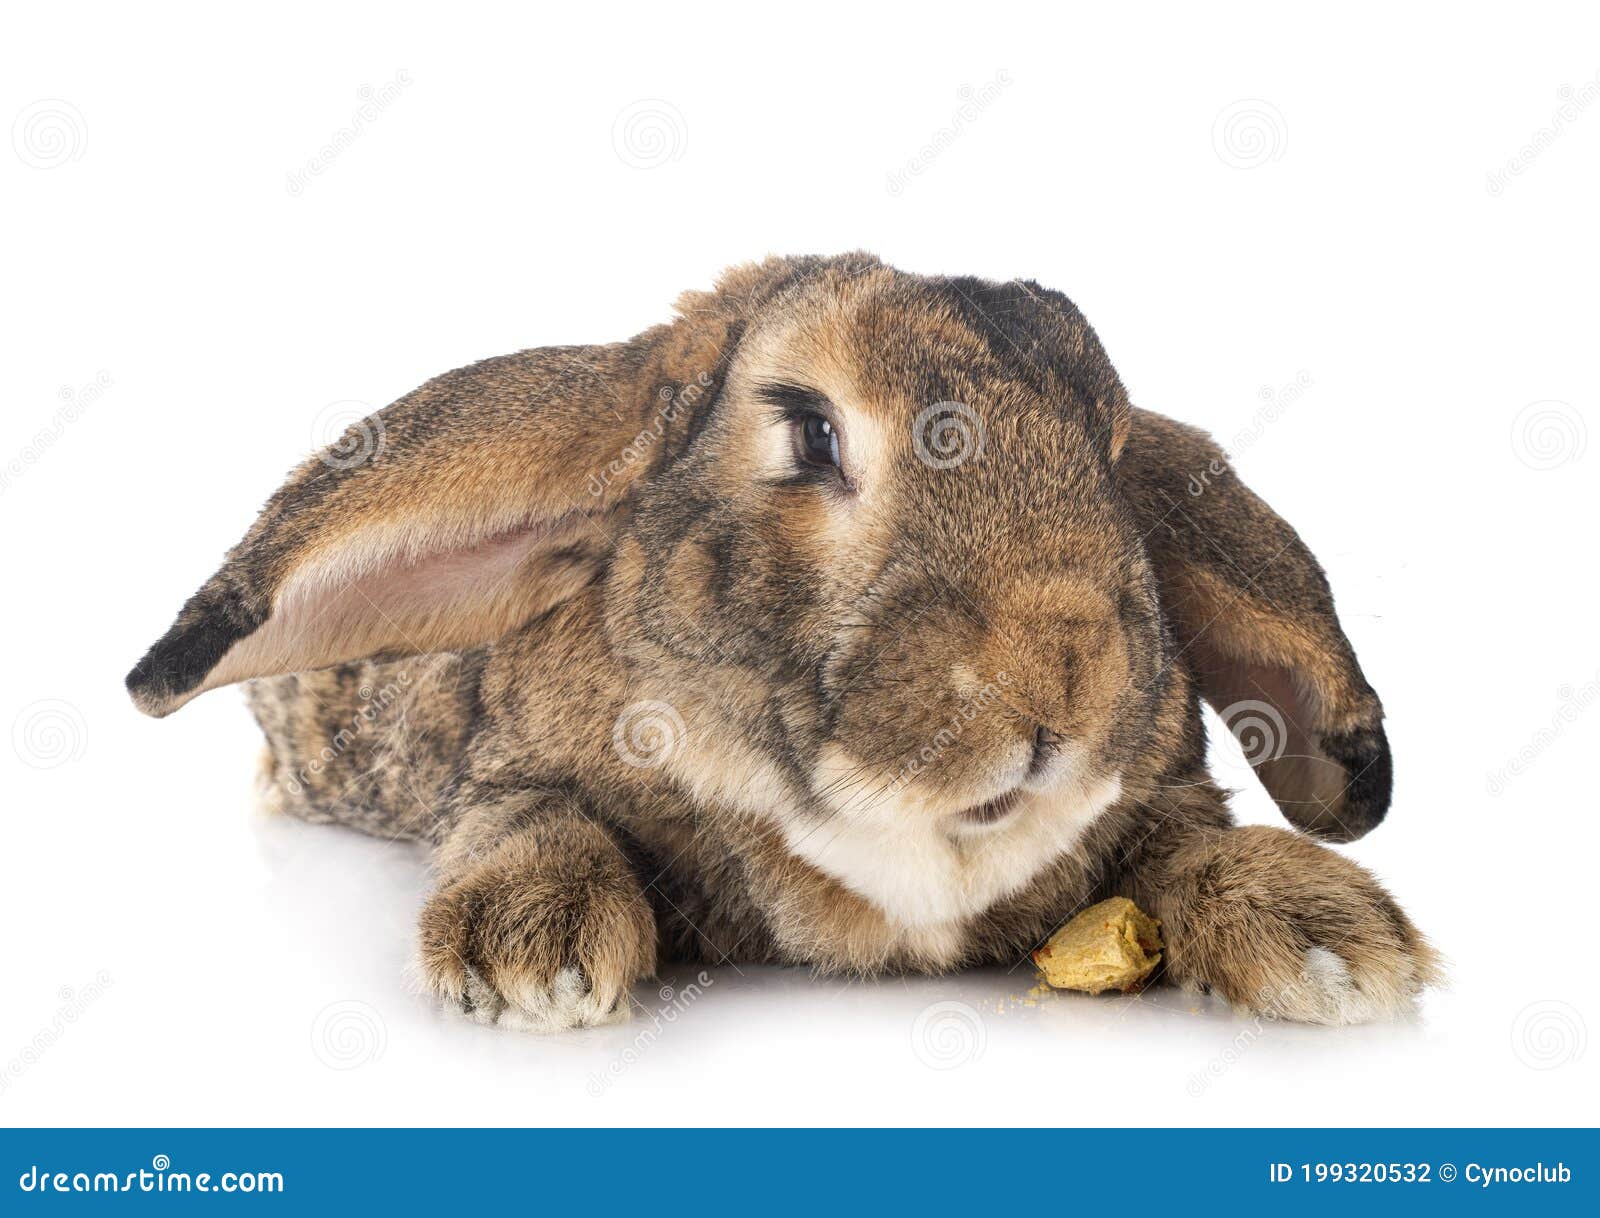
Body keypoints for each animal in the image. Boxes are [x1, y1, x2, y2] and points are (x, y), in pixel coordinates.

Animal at [127, 252, 1439, 1031]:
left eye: (1112, 450)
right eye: (811, 434)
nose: (1066, 668)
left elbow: (1194, 846)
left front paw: (1326, 939)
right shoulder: (506, 769)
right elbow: (523, 812)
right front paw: (531, 956)